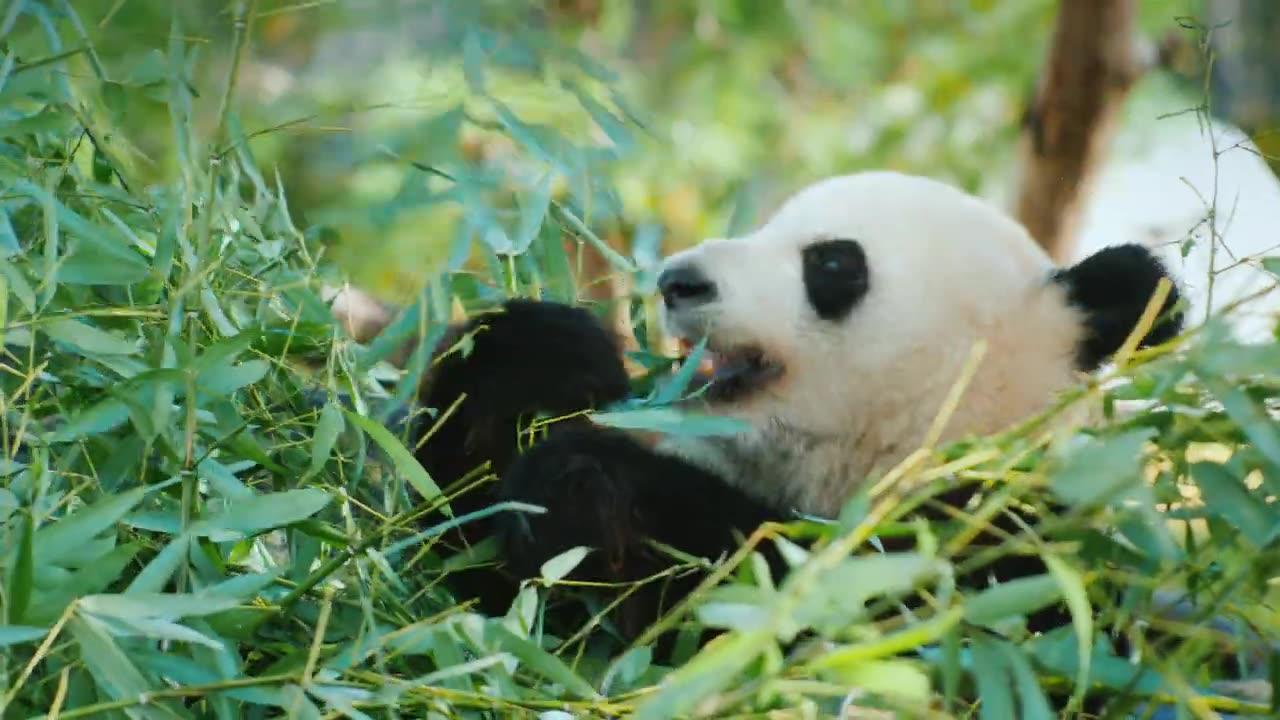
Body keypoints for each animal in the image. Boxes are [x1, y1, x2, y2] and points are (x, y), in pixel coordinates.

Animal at [379, 170, 1184, 644]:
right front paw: (547, 354)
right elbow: (439, 591)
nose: (678, 281)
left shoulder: (997, 568)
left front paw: (586, 487)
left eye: (830, 262)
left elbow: (760, 616)